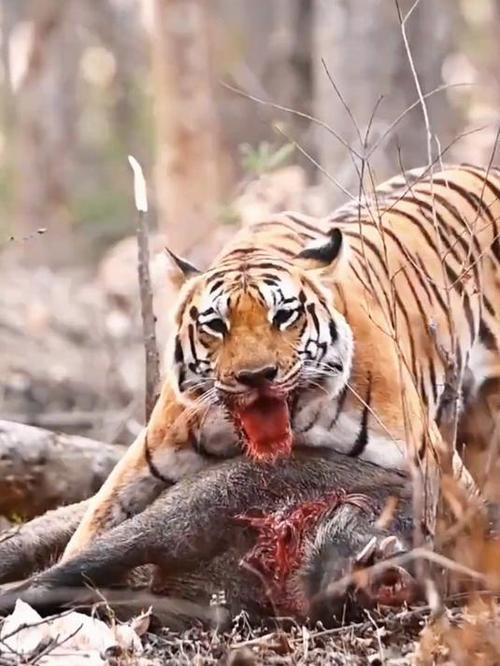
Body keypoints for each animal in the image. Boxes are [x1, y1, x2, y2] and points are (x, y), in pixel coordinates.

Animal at [63, 163, 500, 561]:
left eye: (284, 315)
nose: (256, 376)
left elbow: (464, 527)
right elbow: (87, 532)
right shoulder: (143, 463)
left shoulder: (428, 456)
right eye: (216, 324)